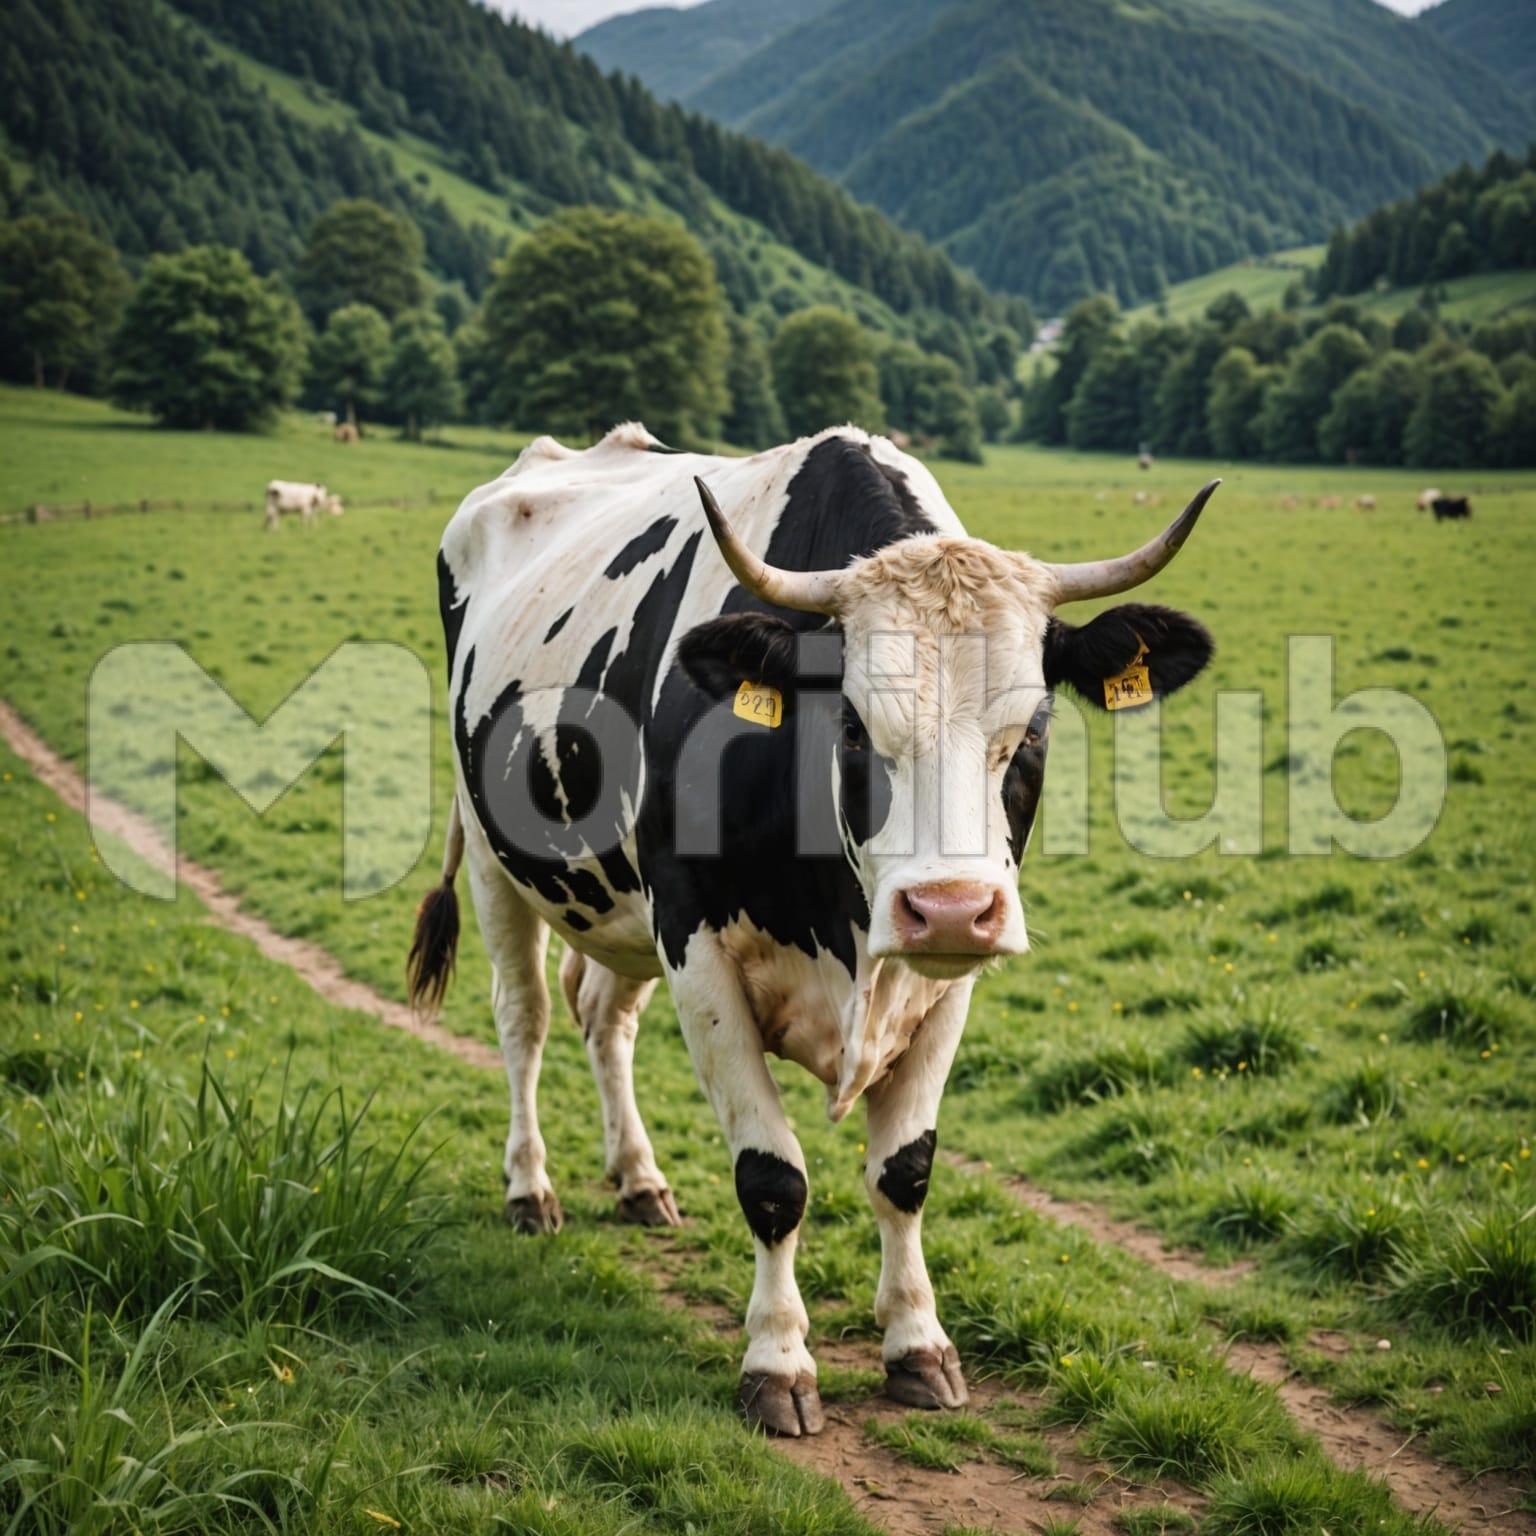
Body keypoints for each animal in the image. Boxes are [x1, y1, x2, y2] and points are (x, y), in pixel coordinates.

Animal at [410, 424, 1216, 1438]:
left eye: (1031, 730)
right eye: (855, 729)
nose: (949, 905)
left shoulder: (943, 980)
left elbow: (905, 1172)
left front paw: (918, 1344)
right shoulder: (698, 949)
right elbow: (773, 1179)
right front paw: (777, 1363)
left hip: (625, 909)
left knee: (604, 1018)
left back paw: (638, 1178)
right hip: (496, 861)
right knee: (525, 1021)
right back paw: (531, 1189)